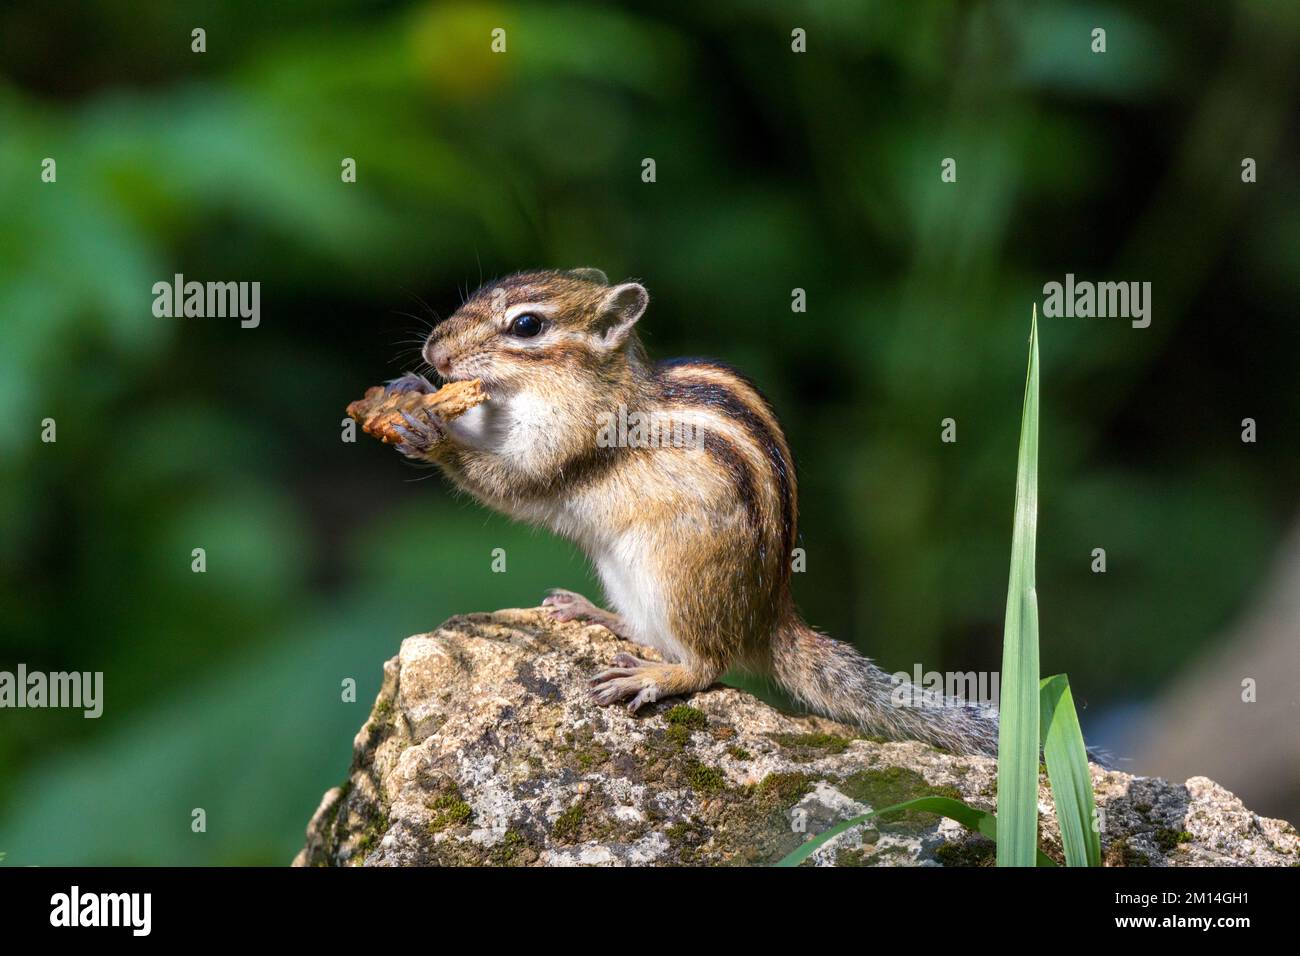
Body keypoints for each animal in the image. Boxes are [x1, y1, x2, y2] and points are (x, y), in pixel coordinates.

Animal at [380, 268, 1000, 755]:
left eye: (527, 326)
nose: (433, 352)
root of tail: (770, 616)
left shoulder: (567, 441)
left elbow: (506, 482)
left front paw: (433, 434)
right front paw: (411, 391)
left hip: (678, 577)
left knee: (708, 664)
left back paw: (656, 677)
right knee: (646, 631)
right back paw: (593, 613)